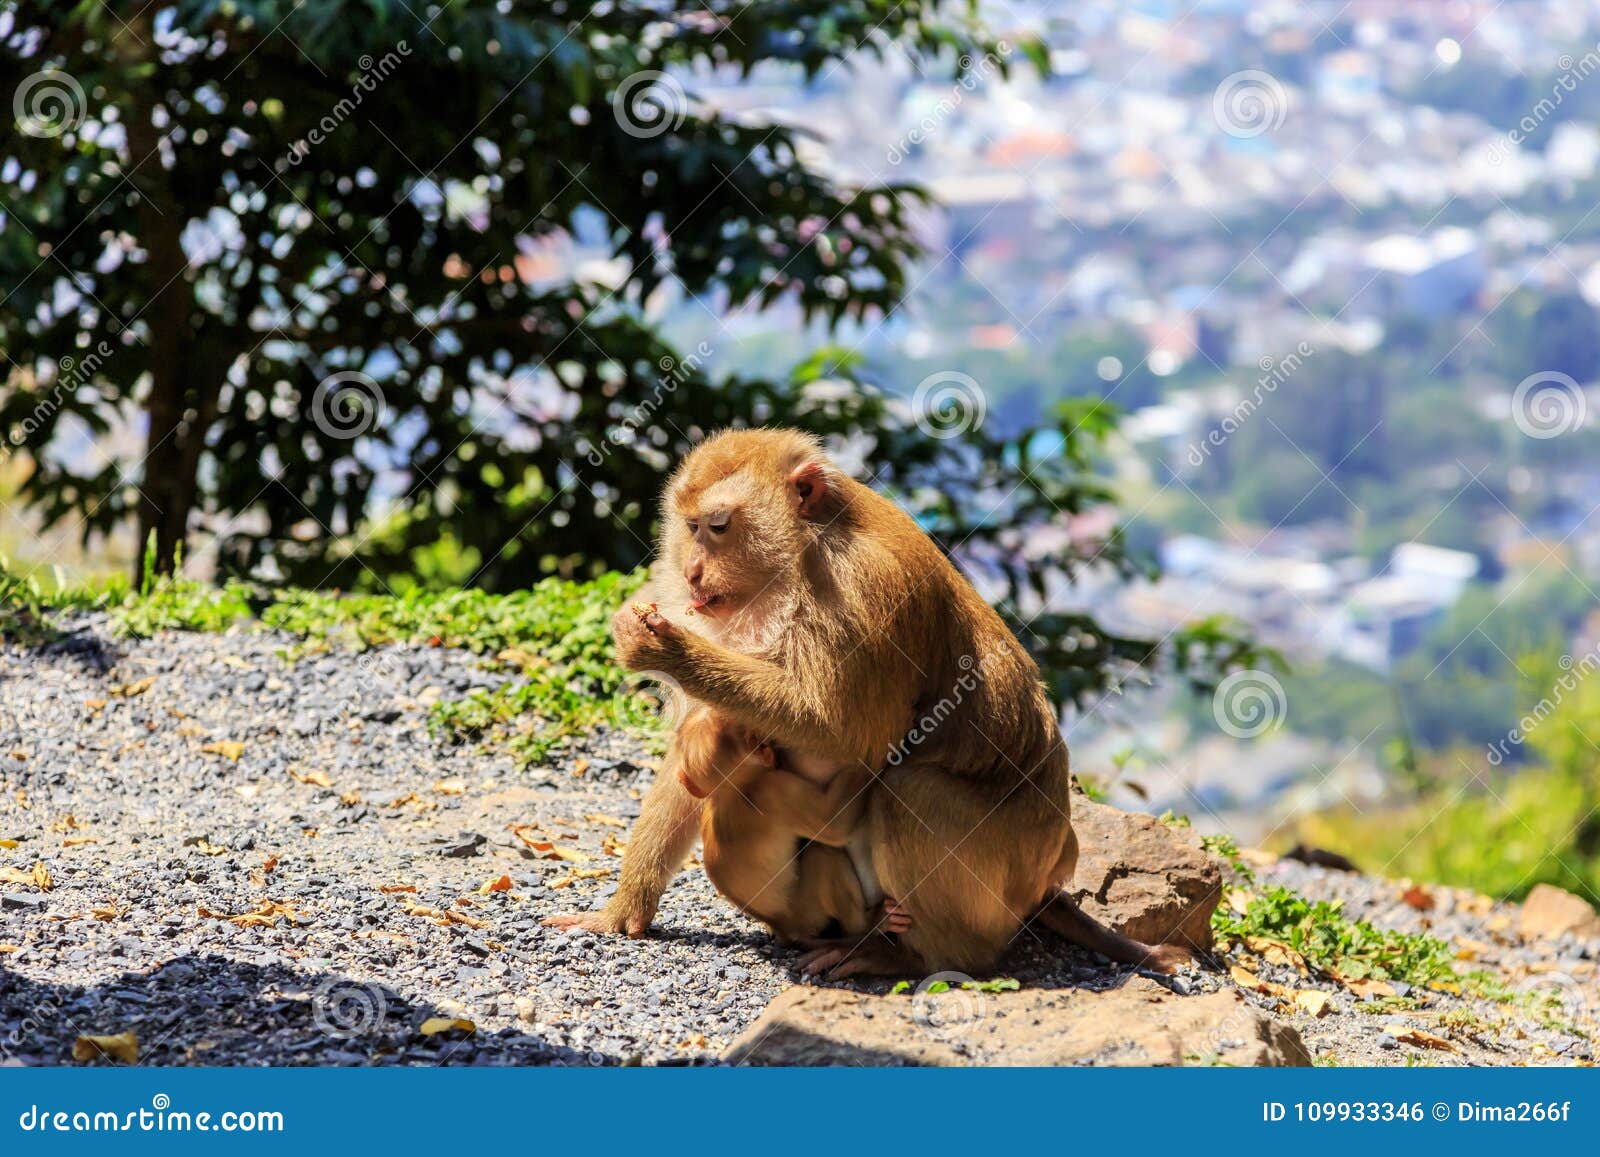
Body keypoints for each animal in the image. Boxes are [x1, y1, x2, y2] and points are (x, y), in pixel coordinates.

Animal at [670, 701, 910, 942]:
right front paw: (869, 758)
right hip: (808, 911)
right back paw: (870, 924)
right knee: (823, 854)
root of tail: (786, 927)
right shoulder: (774, 789)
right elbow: (835, 825)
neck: (730, 789)